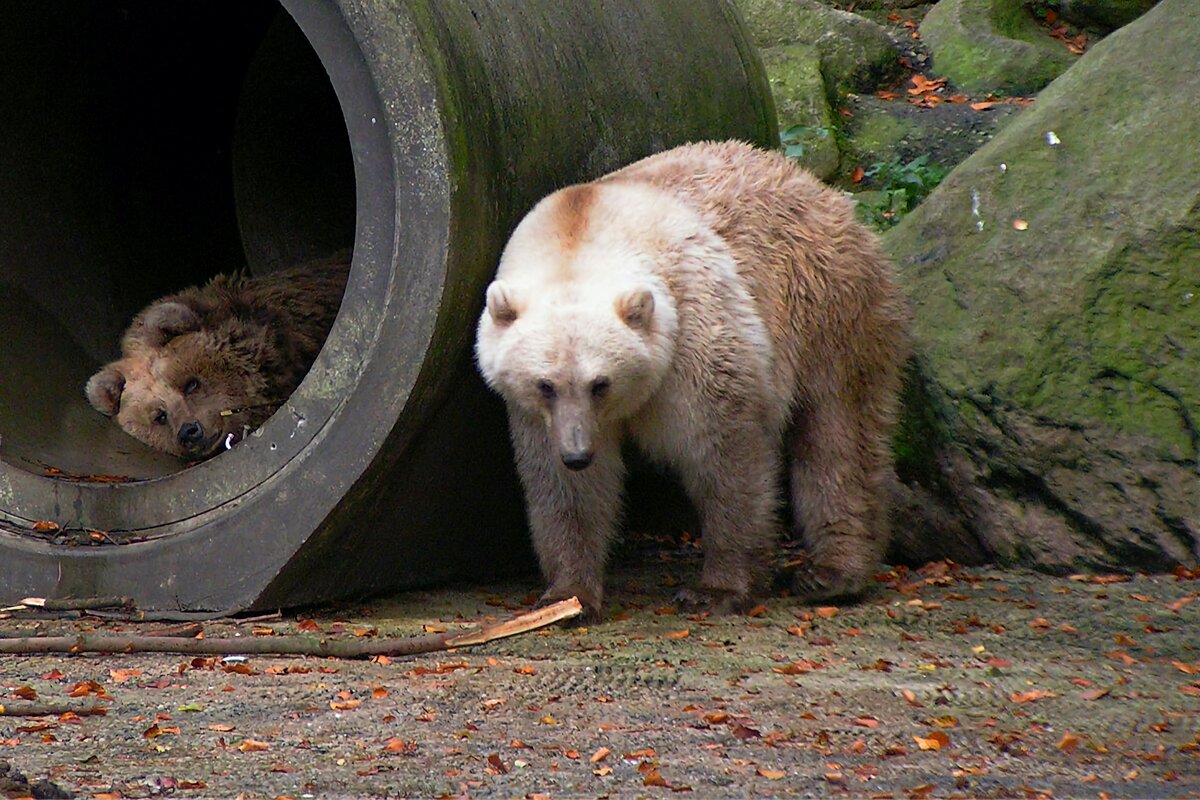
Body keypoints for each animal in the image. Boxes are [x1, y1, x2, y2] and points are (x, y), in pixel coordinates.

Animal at [477, 140, 907, 623]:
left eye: (600, 383)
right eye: (545, 385)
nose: (577, 453)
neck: (582, 230)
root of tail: (822, 190)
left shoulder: (693, 331)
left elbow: (724, 453)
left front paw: (717, 589)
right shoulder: (534, 414)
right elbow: (565, 490)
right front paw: (568, 596)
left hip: (827, 304)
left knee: (838, 433)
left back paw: (833, 573)